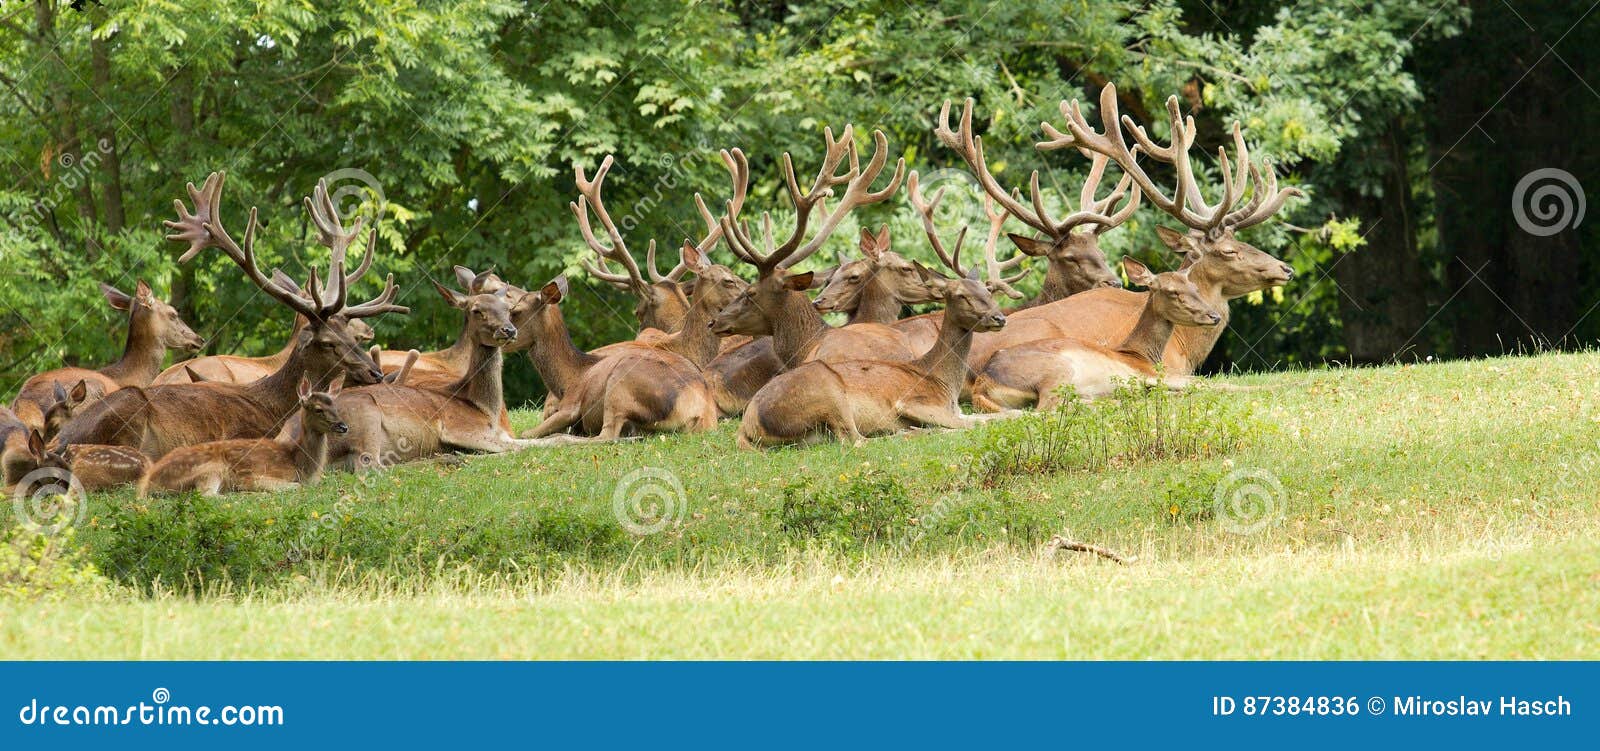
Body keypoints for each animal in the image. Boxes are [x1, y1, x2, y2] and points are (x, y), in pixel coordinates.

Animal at [138, 378, 346, 496]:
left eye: (335, 406)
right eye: (318, 409)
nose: (343, 426)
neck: (300, 465)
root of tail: (148, 483)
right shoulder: (258, 475)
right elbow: (296, 487)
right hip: (211, 468)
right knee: (207, 495)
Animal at [737, 263, 1009, 450]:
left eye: (988, 291)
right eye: (961, 295)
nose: (999, 317)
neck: (943, 382)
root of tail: (747, 421)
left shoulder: (957, 410)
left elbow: (999, 416)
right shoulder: (913, 402)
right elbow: (977, 423)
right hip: (828, 392)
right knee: (856, 440)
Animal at [973, 259, 1222, 411]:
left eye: (1194, 288)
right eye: (1172, 291)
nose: (1214, 316)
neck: (1142, 354)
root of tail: (981, 385)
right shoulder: (1149, 374)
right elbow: (1205, 383)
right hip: (1057, 371)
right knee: (1047, 409)